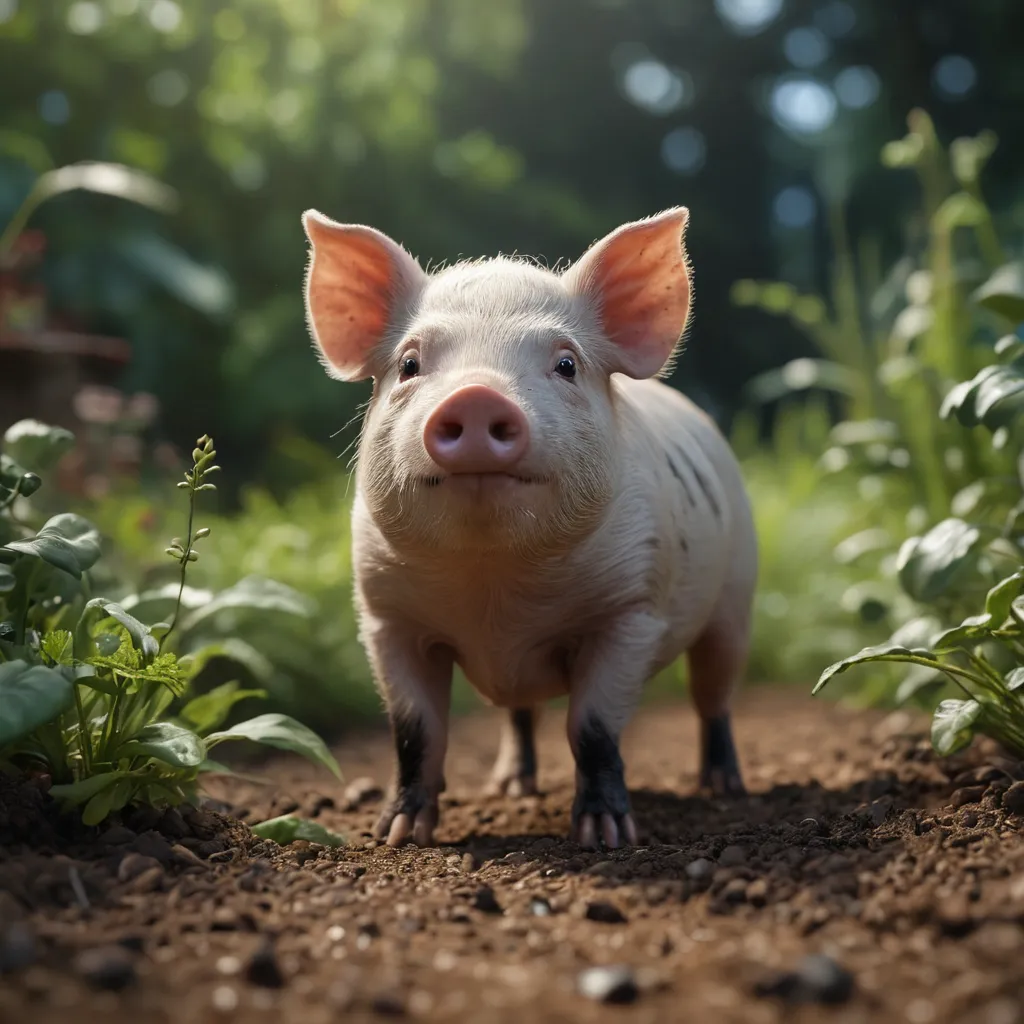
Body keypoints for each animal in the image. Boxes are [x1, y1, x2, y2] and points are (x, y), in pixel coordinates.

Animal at [300, 206, 757, 849]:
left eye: (566, 364)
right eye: (410, 364)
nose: (475, 396)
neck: (495, 587)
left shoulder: (631, 610)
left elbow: (592, 727)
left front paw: (605, 836)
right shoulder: (387, 615)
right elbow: (415, 731)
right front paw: (396, 834)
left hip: (736, 598)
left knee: (714, 697)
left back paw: (723, 788)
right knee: (519, 713)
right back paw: (512, 788)